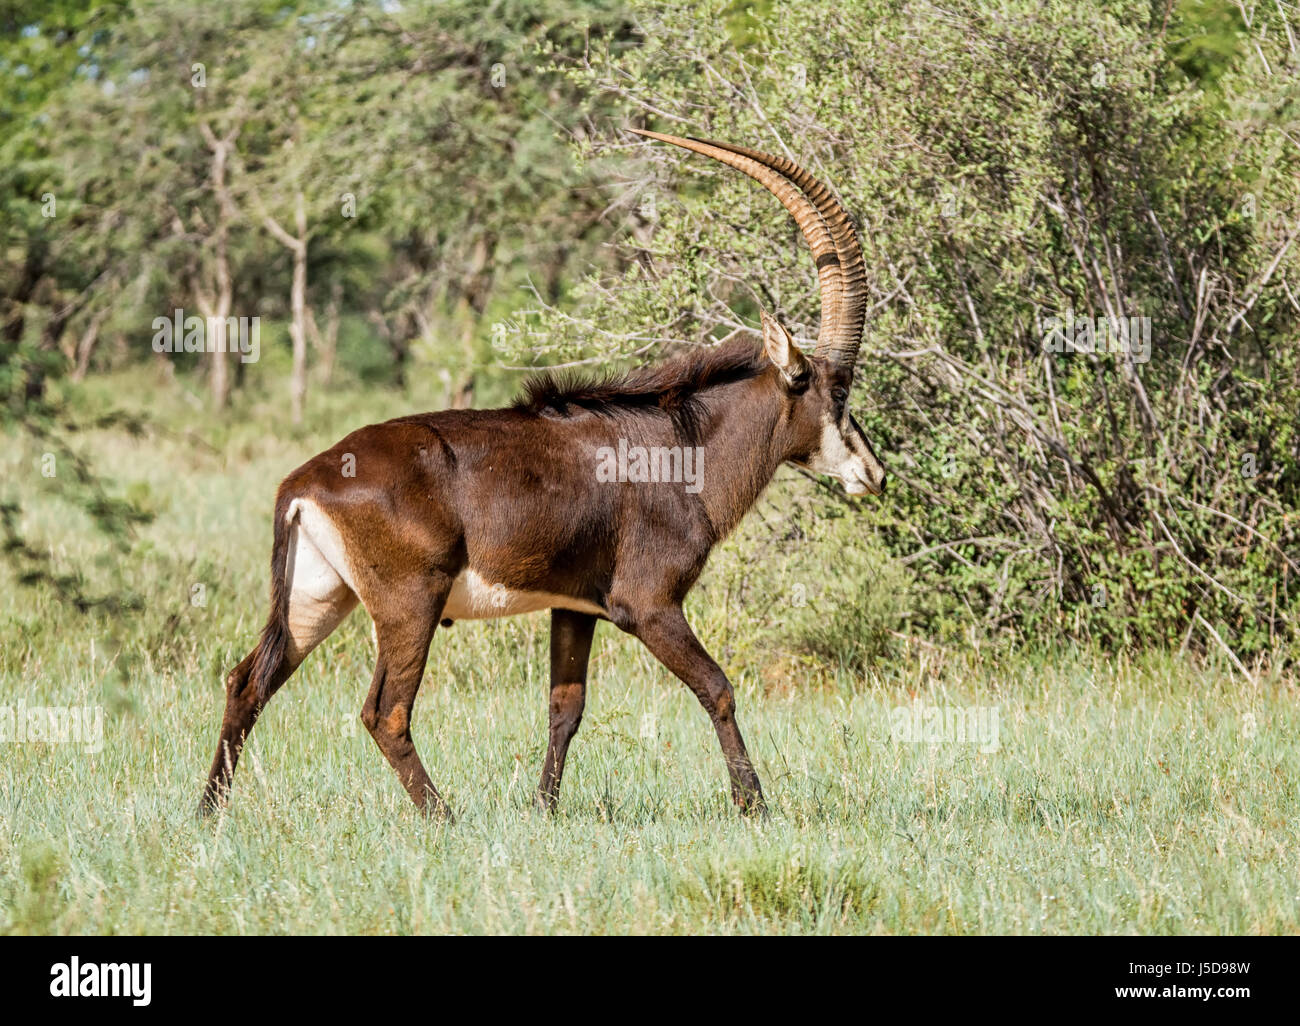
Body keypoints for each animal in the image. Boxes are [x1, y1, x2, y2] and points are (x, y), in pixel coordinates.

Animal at [199, 130, 887, 819]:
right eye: (838, 392)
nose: (875, 474)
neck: (679, 444)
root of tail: (303, 484)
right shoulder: (648, 605)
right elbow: (718, 688)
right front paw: (755, 807)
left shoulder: (573, 606)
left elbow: (566, 708)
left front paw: (545, 809)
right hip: (408, 604)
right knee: (384, 713)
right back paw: (443, 817)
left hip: (319, 598)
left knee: (247, 682)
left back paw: (209, 813)